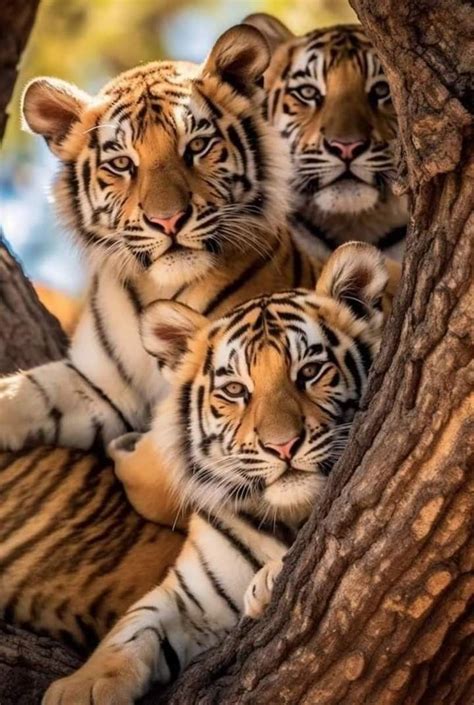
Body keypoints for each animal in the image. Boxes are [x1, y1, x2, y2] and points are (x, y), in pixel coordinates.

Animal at [0, 23, 322, 455]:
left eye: (197, 146)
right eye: (122, 163)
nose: (167, 220)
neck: (158, 289)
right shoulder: (104, 389)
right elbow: (30, 392)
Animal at [43, 242, 389, 704]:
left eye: (310, 372)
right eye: (236, 391)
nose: (282, 446)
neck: (287, 513)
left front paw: (266, 581)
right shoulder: (190, 599)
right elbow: (131, 629)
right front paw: (81, 687)